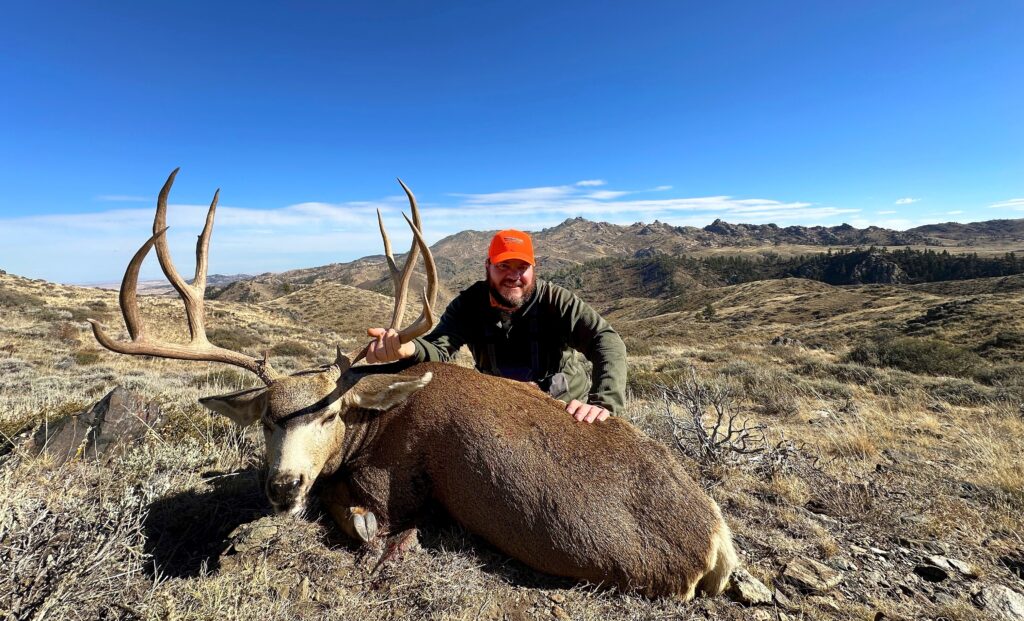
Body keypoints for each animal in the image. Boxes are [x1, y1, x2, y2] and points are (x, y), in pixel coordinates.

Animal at [89, 169, 738, 599]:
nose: (282, 485)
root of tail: (715, 541)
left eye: (329, 415)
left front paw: (375, 532)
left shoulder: (392, 484)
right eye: (268, 419)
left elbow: (357, 515)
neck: (375, 422)